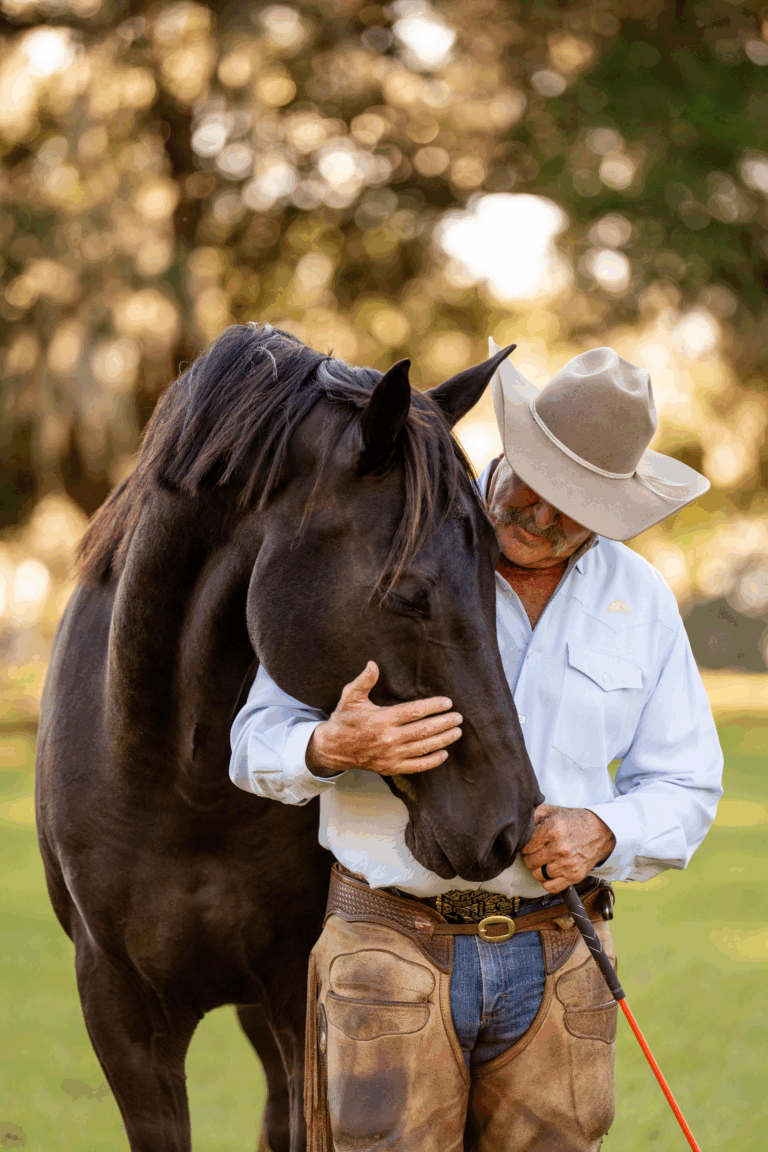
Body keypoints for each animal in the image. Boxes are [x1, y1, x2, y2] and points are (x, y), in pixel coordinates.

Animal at [35, 323, 542, 1152]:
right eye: (410, 593)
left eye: (496, 575)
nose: (511, 821)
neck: (178, 784)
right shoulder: (121, 1019)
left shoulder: (301, 1000)